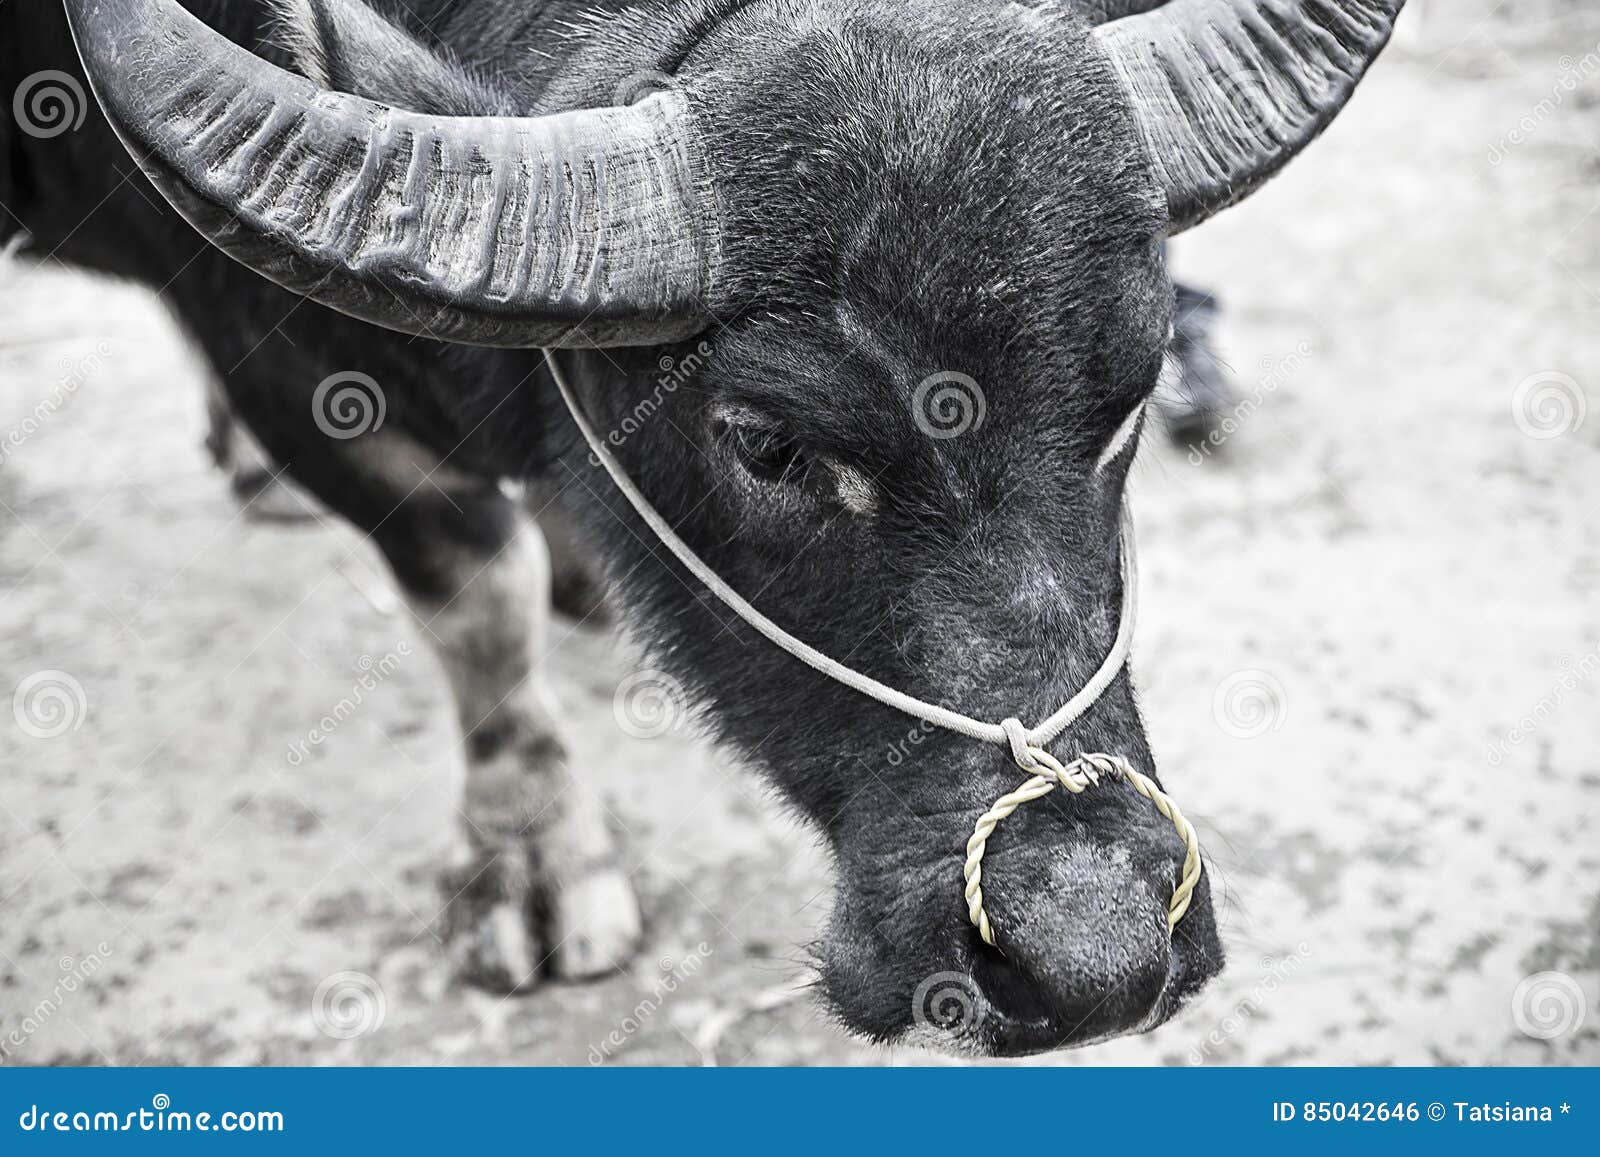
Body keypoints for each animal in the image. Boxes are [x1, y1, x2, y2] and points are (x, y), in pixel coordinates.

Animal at [2, 0, 1402, 1055]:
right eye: (769, 444)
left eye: (1128, 403)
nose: (1093, 954)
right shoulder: (297, 379)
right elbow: (474, 590)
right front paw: (534, 853)